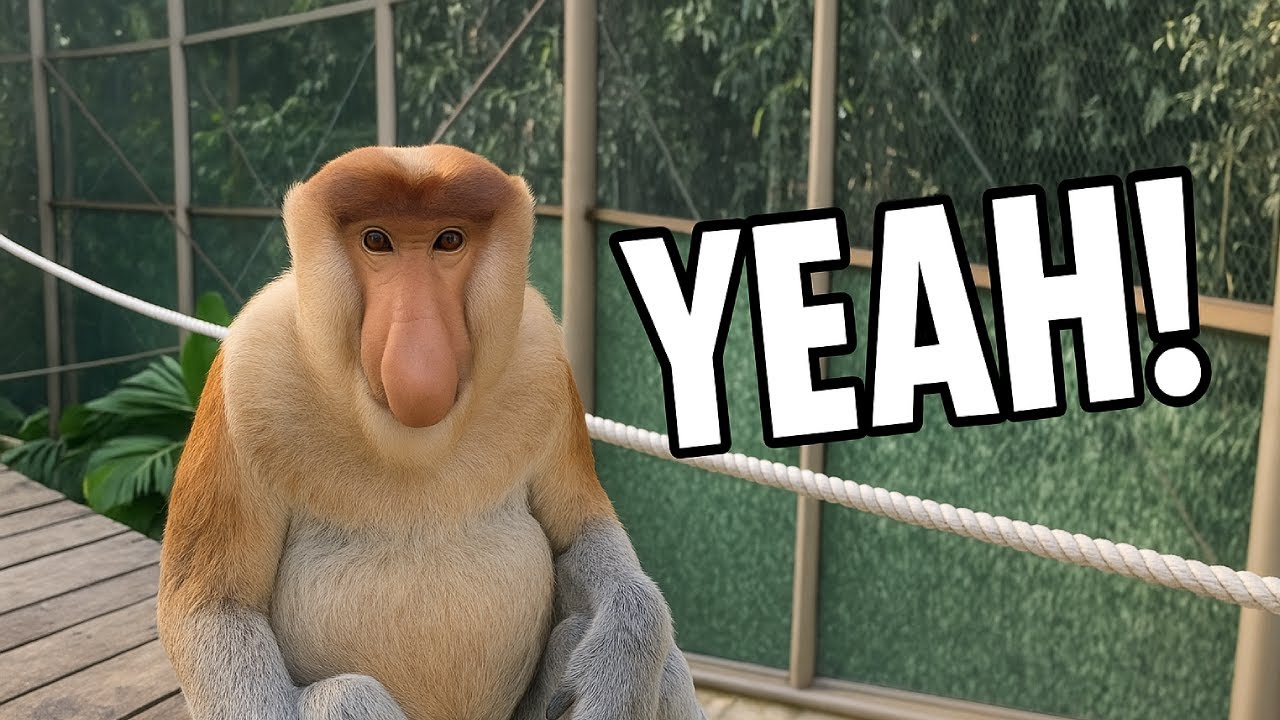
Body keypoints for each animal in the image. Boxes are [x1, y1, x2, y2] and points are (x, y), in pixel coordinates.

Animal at [155, 144, 705, 720]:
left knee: (652, 660)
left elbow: (580, 535)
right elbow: (215, 608)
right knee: (343, 697)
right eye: (377, 240)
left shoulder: (542, 357)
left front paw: (624, 654)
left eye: (449, 240)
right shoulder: (247, 373)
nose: (418, 346)